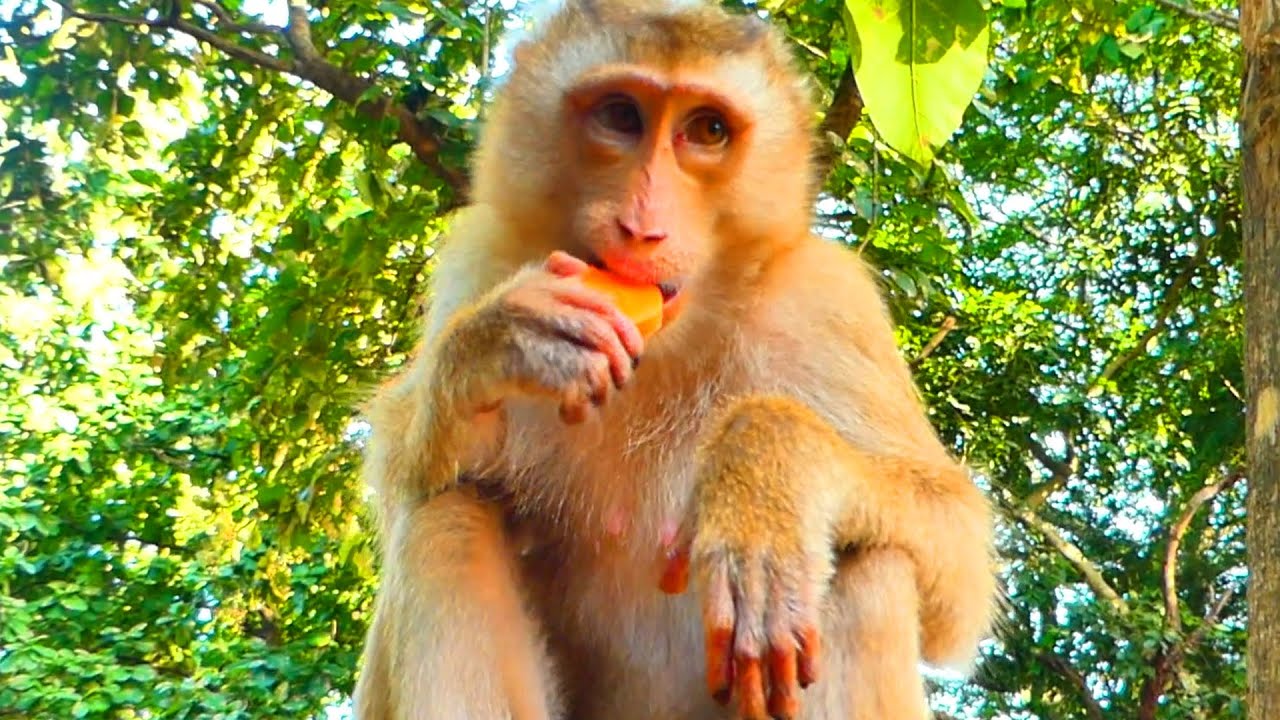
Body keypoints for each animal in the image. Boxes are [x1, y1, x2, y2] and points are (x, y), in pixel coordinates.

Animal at [350, 0, 999, 718]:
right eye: (620, 116)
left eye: (707, 129)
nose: (641, 227)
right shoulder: (481, 256)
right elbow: (404, 479)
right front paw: (496, 345)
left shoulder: (829, 304)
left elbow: (958, 553)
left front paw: (766, 477)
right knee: (445, 517)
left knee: (869, 563)